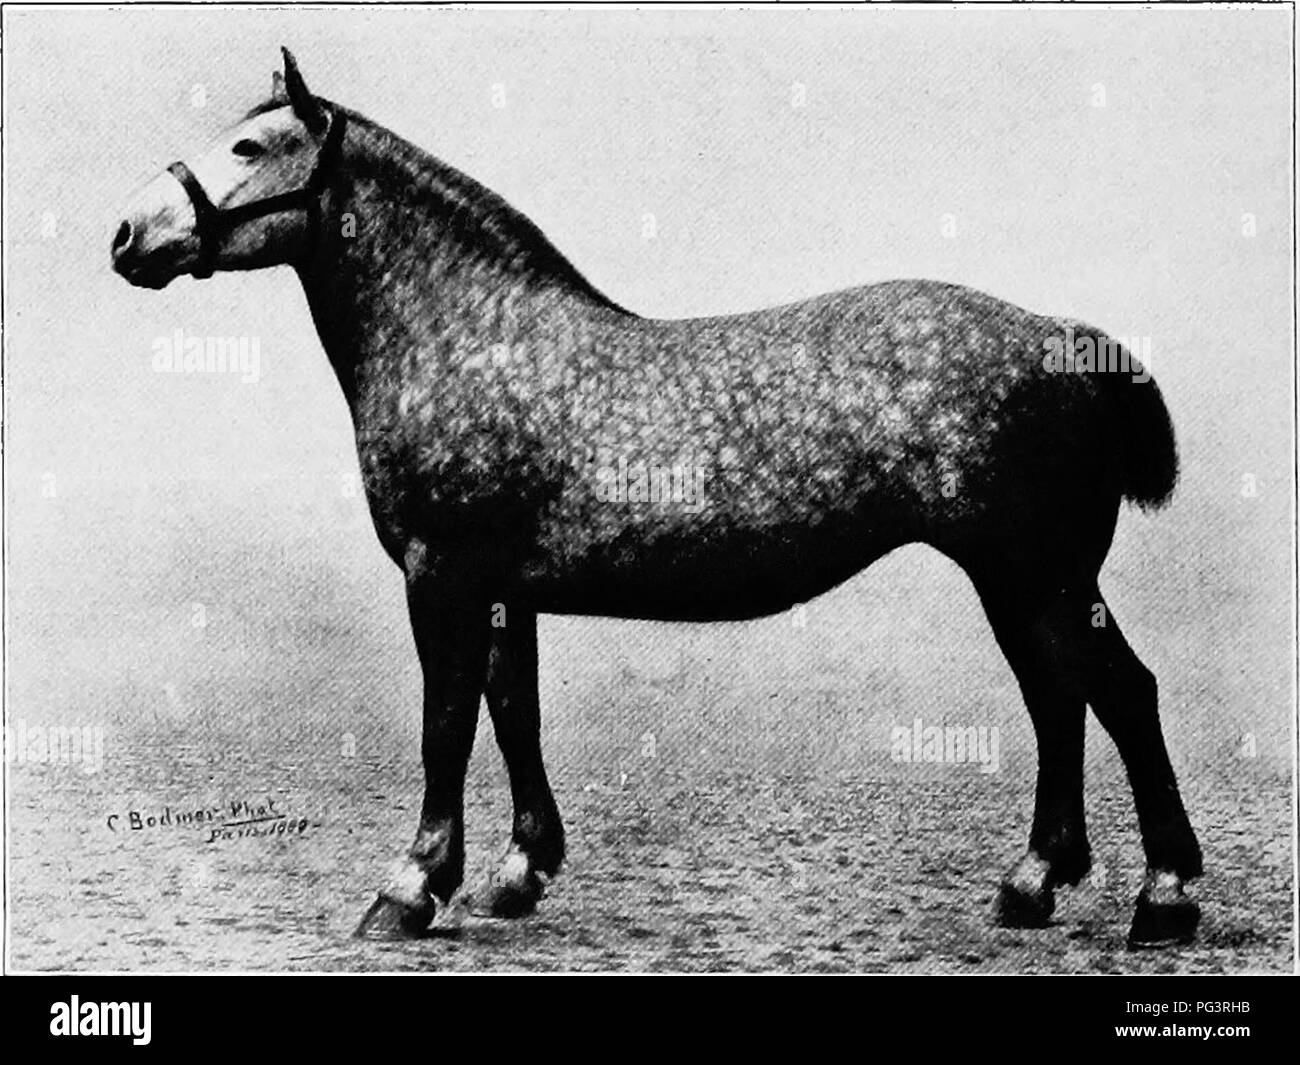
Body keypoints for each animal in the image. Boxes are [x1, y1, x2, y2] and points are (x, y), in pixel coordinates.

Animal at [112, 50, 1202, 949]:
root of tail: (1069, 342)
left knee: (1120, 694)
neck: (472, 339)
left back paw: (1164, 897)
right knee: (1060, 700)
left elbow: (445, 727)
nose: (127, 235)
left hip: (1035, 571)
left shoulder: (442, 576)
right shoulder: (503, 589)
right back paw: (1033, 883)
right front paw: (520, 871)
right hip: (1023, 582)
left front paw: (410, 888)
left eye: (250, 145)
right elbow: (514, 711)